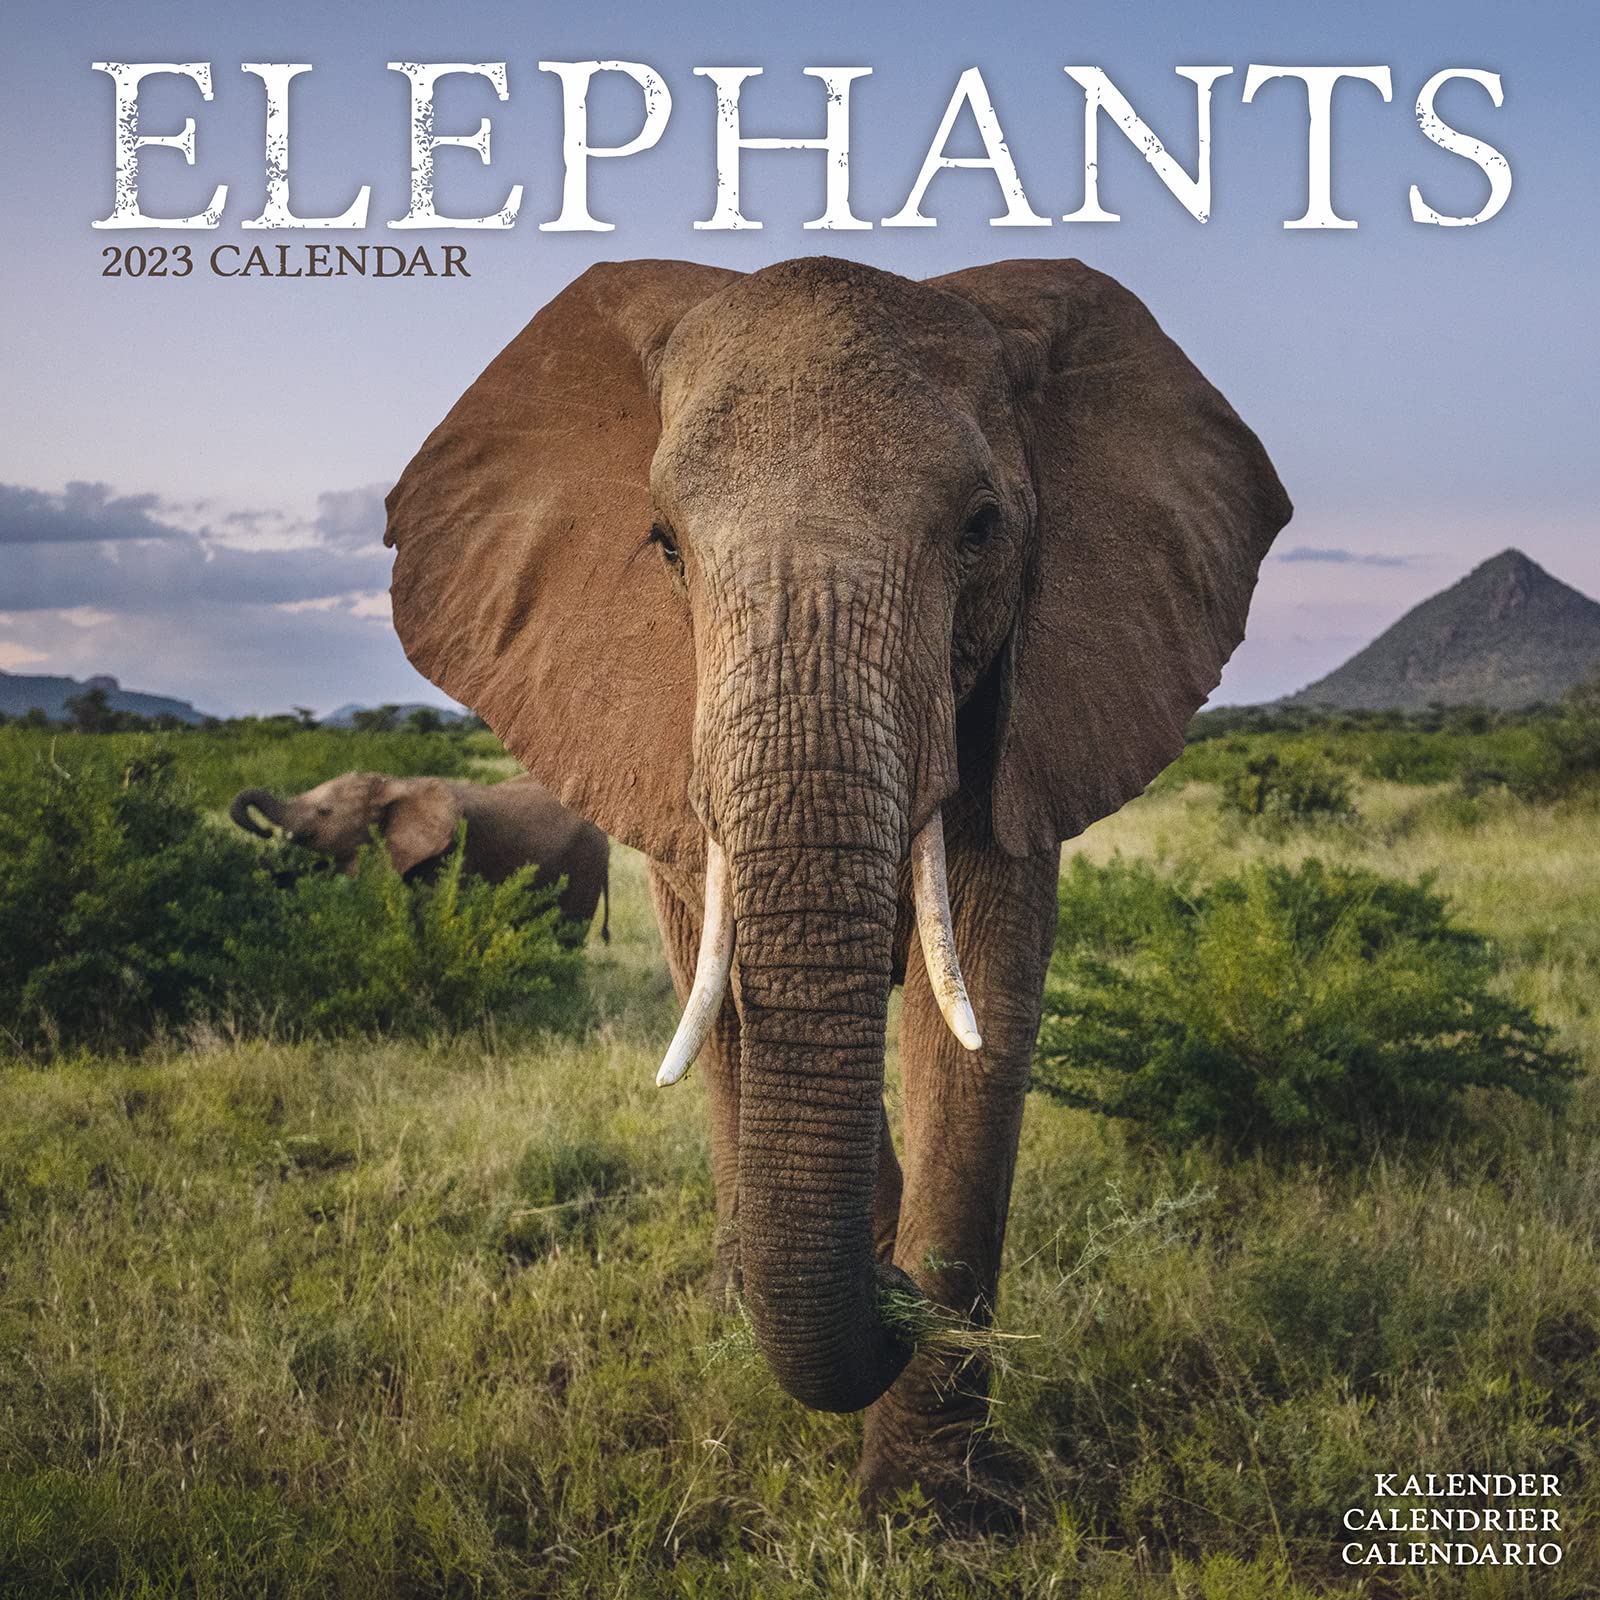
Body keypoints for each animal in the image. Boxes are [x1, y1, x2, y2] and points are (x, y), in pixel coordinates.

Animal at [383, 256, 1290, 1522]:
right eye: (663, 546)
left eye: (979, 531)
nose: (894, 1287)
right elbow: (729, 994)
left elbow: (979, 1014)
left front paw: (928, 1508)